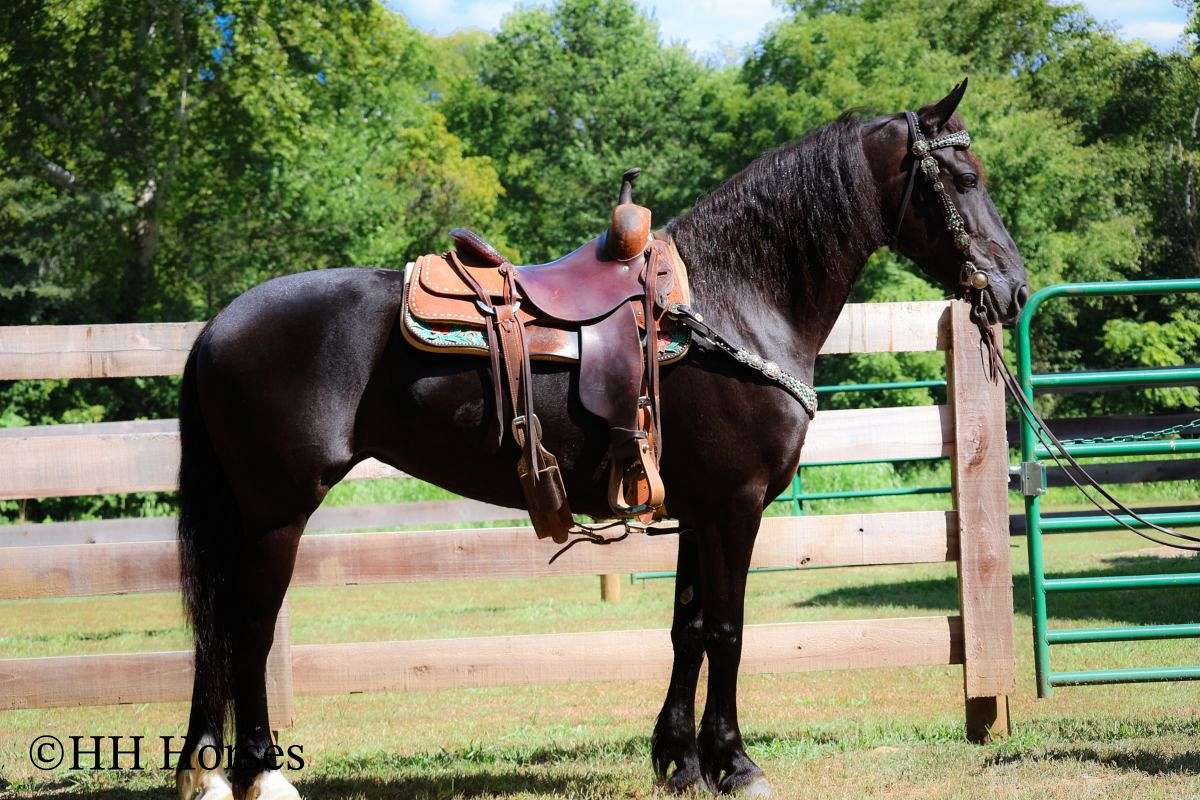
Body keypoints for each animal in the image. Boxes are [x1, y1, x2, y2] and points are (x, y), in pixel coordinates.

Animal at [174, 79, 1028, 799]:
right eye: (965, 178)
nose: (1013, 288)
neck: (732, 304)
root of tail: (218, 326)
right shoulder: (737, 505)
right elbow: (728, 629)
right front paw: (736, 763)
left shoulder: (697, 510)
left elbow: (687, 628)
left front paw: (681, 761)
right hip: (275, 516)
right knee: (246, 632)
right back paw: (261, 776)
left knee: (219, 634)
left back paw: (208, 775)